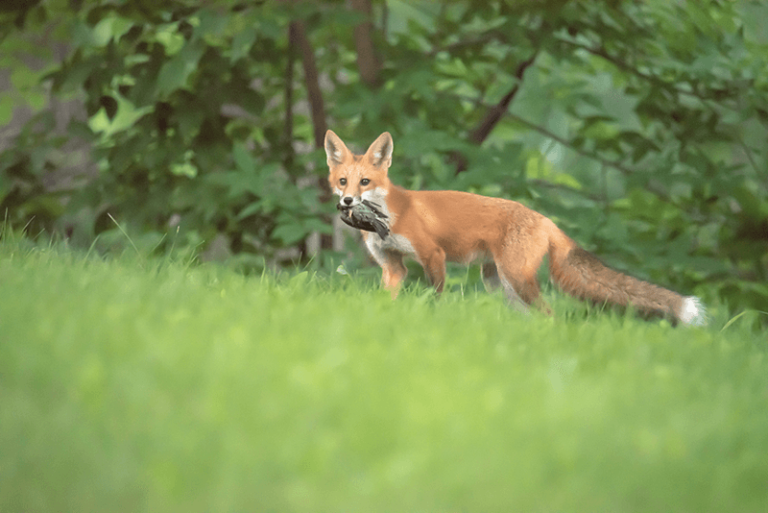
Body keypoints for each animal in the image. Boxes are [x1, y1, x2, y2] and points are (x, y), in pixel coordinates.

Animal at [325, 129, 707, 326]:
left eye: (365, 182)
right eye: (343, 181)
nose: (348, 201)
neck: (389, 215)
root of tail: (545, 219)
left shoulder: (433, 255)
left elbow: (436, 296)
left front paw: (433, 317)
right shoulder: (394, 267)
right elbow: (386, 297)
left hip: (517, 278)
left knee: (550, 315)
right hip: (501, 284)